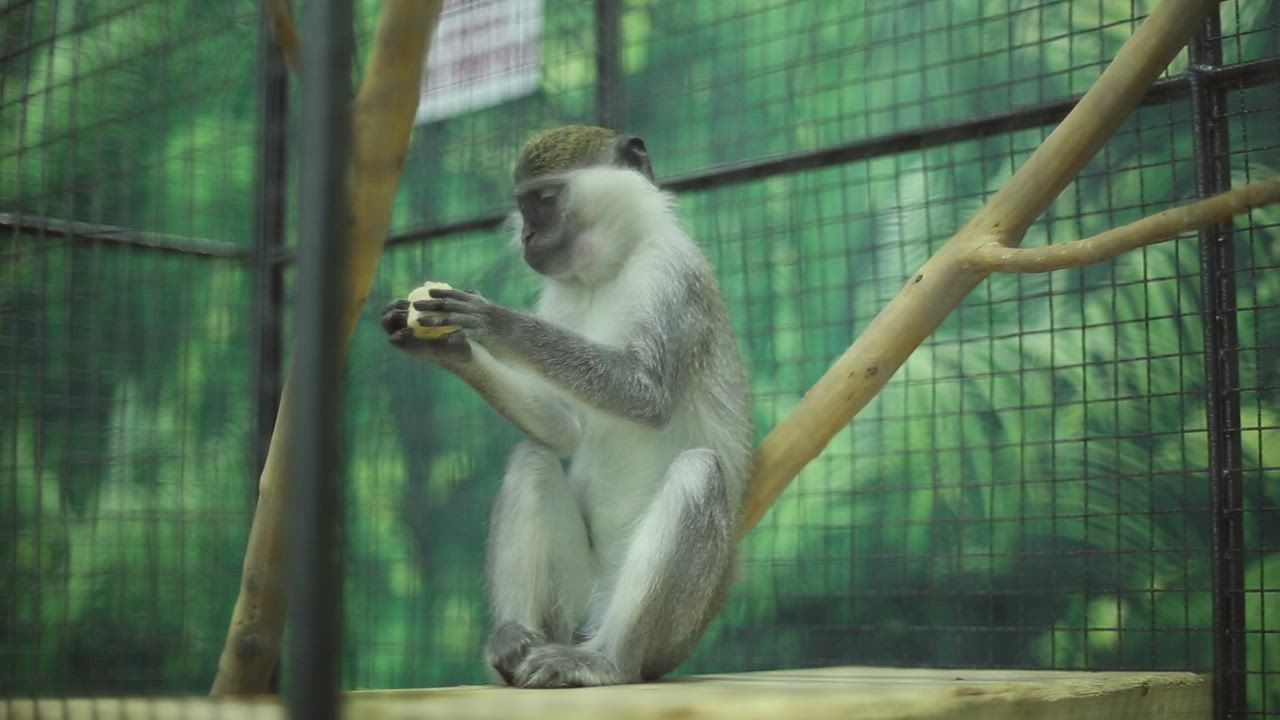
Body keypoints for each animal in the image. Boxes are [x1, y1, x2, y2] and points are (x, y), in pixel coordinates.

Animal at [380, 125, 751, 688]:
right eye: (523, 205)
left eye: (544, 200)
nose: (528, 237)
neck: (607, 271)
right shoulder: (558, 297)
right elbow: (563, 428)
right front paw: (448, 348)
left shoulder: (672, 272)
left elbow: (645, 394)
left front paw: (493, 320)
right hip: (573, 603)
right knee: (531, 457)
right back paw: (514, 641)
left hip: (673, 628)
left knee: (698, 471)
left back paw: (607, 661)